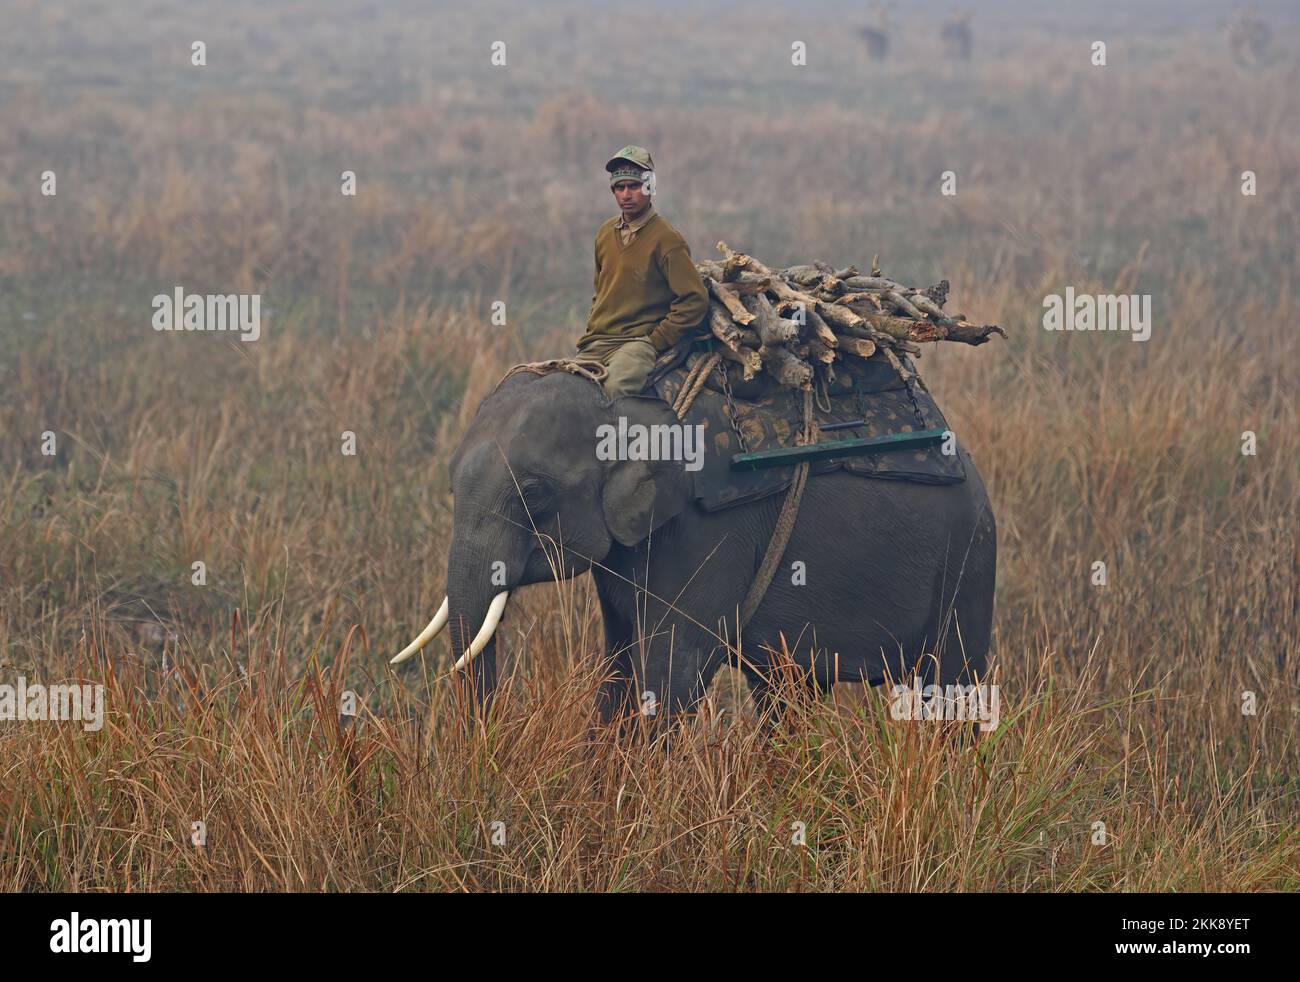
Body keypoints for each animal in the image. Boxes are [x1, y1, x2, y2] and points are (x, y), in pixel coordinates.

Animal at [391, 366, 997, 727]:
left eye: (534, 494)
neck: (623, 405)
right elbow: (619, 660)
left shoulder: (707, 532)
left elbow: (672, 668)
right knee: (783, 693)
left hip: (968, 556)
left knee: (949, 688)